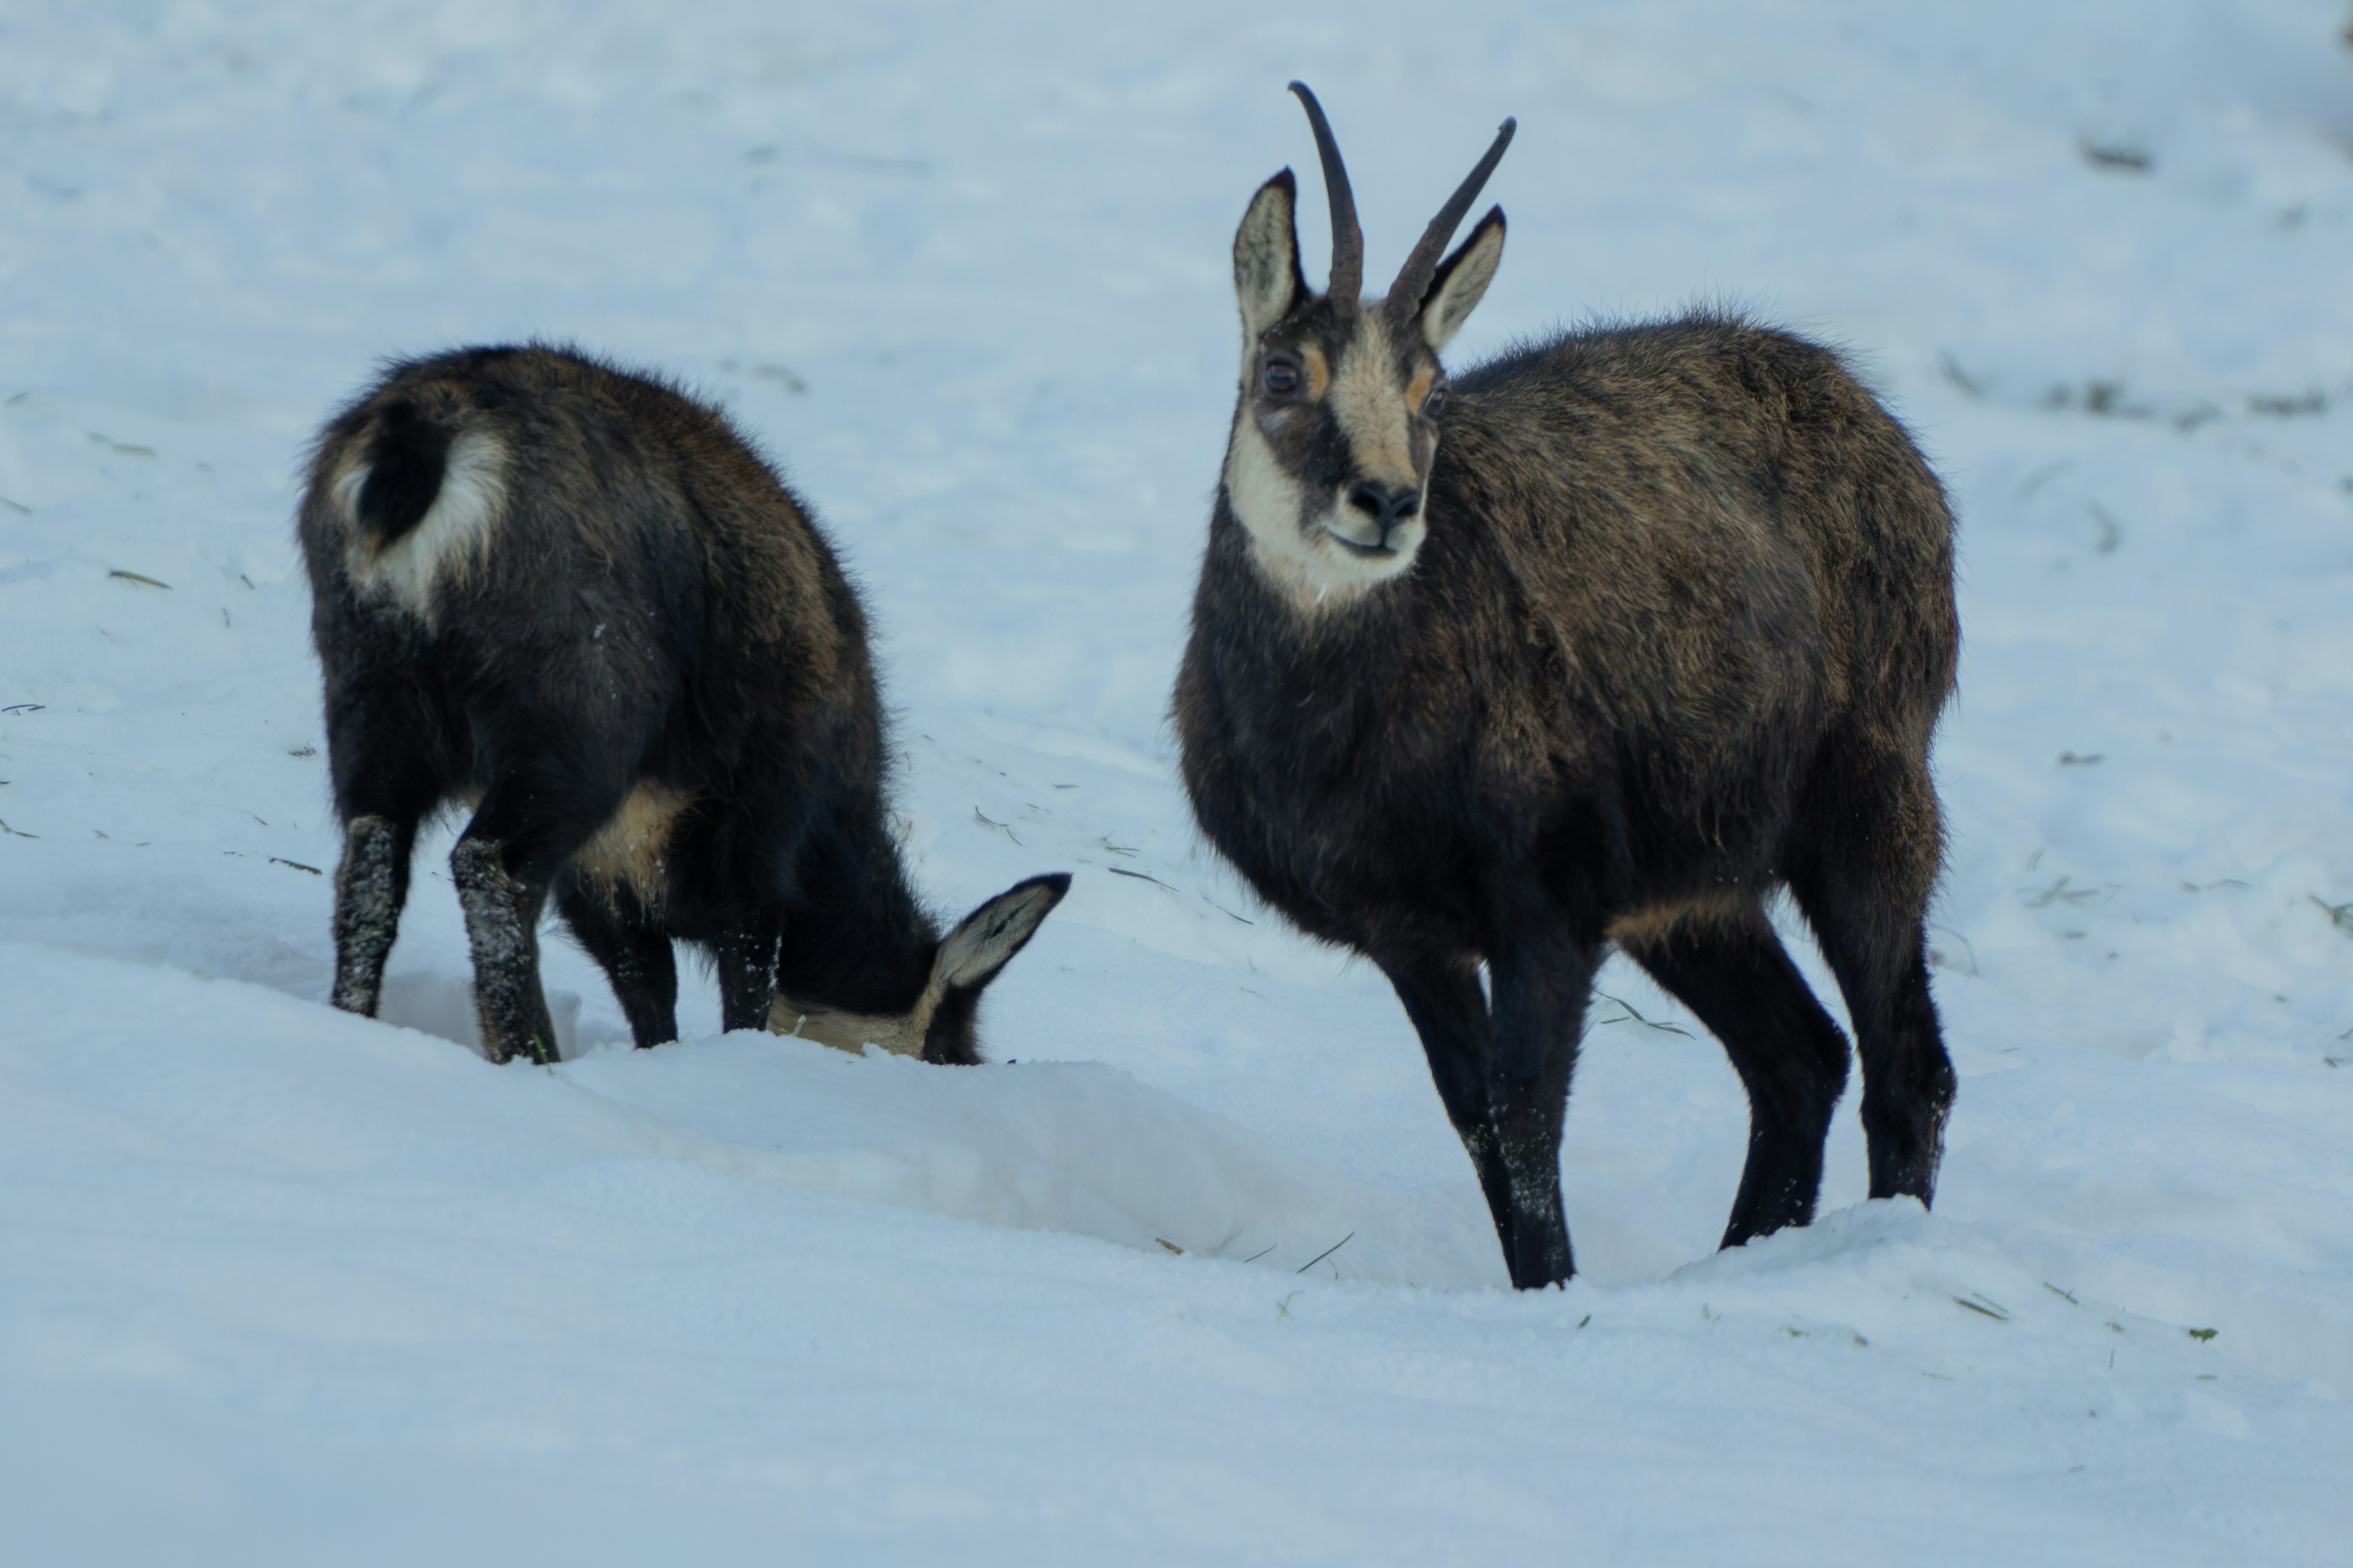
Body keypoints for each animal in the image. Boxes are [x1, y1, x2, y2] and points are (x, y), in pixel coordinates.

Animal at [298, 344, 1068, 1067]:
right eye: (945, 1055)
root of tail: (426, 441)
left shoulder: (603, 881)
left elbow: (649, 995)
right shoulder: (758, 836)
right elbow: (745, 980)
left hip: (370, 688)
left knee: (371, 858)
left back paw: (355, 1019)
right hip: (576, 716)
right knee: (489, 864)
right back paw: (529, 1053)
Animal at [1176, 86, 1959, 1288]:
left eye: (1432, 390)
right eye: (1280, 374)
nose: (1385, 502)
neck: (1341, 729)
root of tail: (1890, 444)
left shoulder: (1544, 903)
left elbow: (1523, 1114)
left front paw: (1550, 1290)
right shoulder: (1413, 934)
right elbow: (1474, 1121)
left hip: (1870, 803)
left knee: (1903, 1062)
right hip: (1693, 893)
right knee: (1800, 1056)